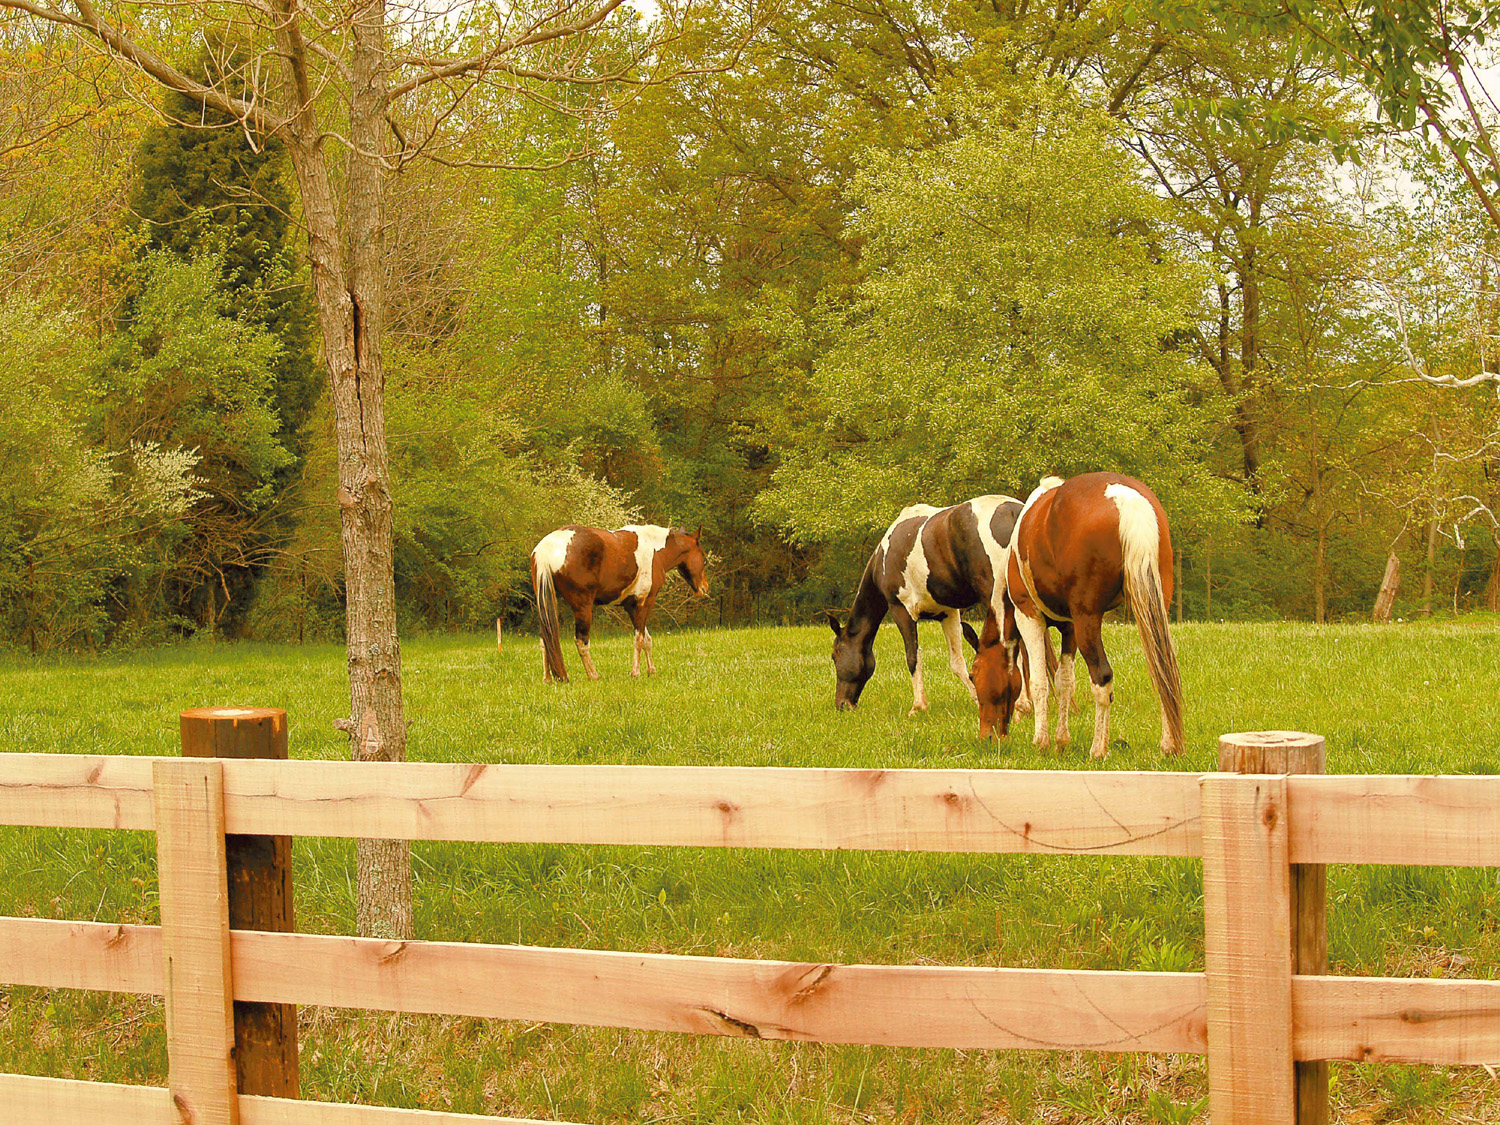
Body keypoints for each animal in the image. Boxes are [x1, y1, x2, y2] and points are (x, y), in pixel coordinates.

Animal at [530, 524, 708, 683]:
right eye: (704, 558)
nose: (704, 588)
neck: (655, 550)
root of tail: (546, 548)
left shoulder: (630, 606)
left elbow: (647, 640)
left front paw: (651, 671)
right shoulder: (645, 603)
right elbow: (639, 640)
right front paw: (636, 673)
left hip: (547, 604)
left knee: (545, 640)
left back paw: (547, 679)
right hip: (583, 607)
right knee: (581, 641)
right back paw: (593, 676)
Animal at [825, 495, 1038, 715]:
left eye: (835, 655)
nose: (842, 704)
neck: (882, 559)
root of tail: (1014, 512)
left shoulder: (901, 610)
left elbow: (912, 657)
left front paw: (918, 706)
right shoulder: (948, 614)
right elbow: (957, 662)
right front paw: (977, 699)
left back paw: (1022, 704)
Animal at [970, 473, 1184, 758]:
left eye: (974, 675)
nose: (987, 736)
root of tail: (1125, 498)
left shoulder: (1028, 616)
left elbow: (1039, 682)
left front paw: (1041, 741)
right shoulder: (1069, 627)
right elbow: (1065, 681)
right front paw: (1061, 740)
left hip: (1088, 620)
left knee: (1102, 679)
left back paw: (1098, 749)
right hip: (1151, 608)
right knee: (1162, 671)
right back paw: (1169, 745)